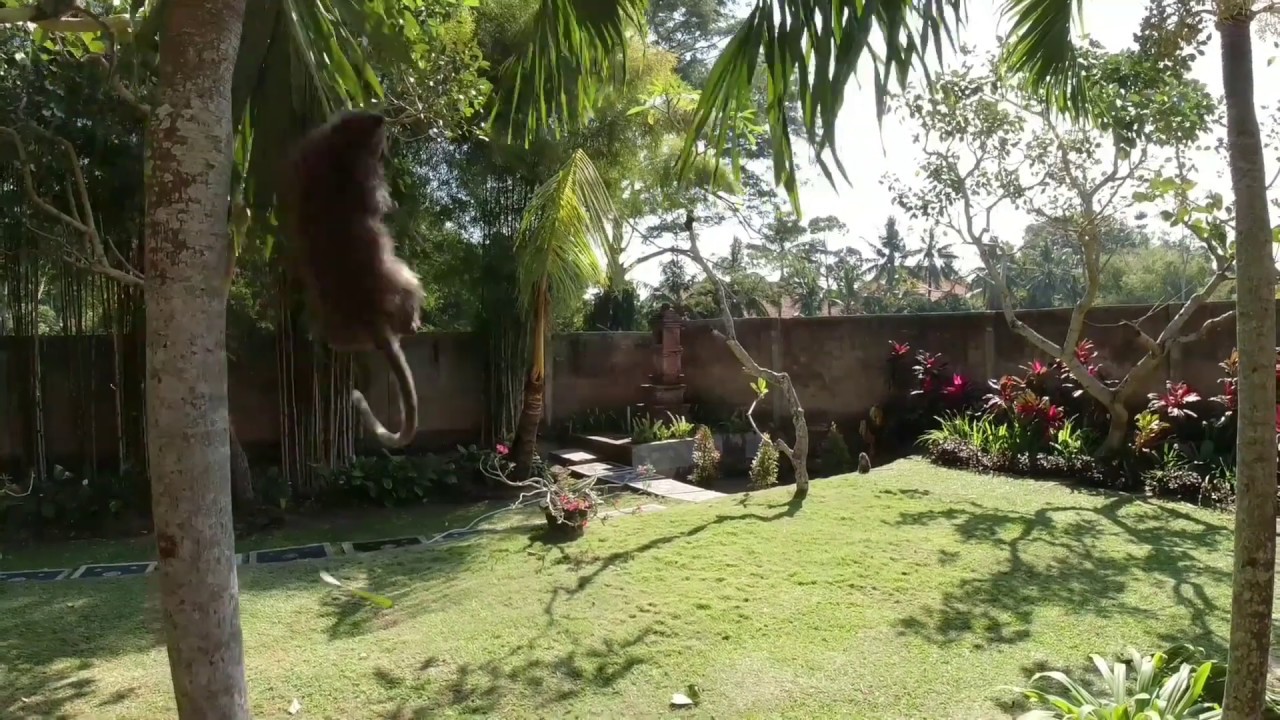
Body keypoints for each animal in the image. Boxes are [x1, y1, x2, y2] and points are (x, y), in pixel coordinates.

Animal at [282, 109, 424, 448]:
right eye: (379, 145)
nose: (381, 117)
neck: (338, 148)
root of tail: (367, 315)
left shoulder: (306, 154)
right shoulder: (365, 173)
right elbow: (380, 204)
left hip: (338, 330)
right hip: (397, 281)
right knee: (409, 287)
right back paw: (412, 322)